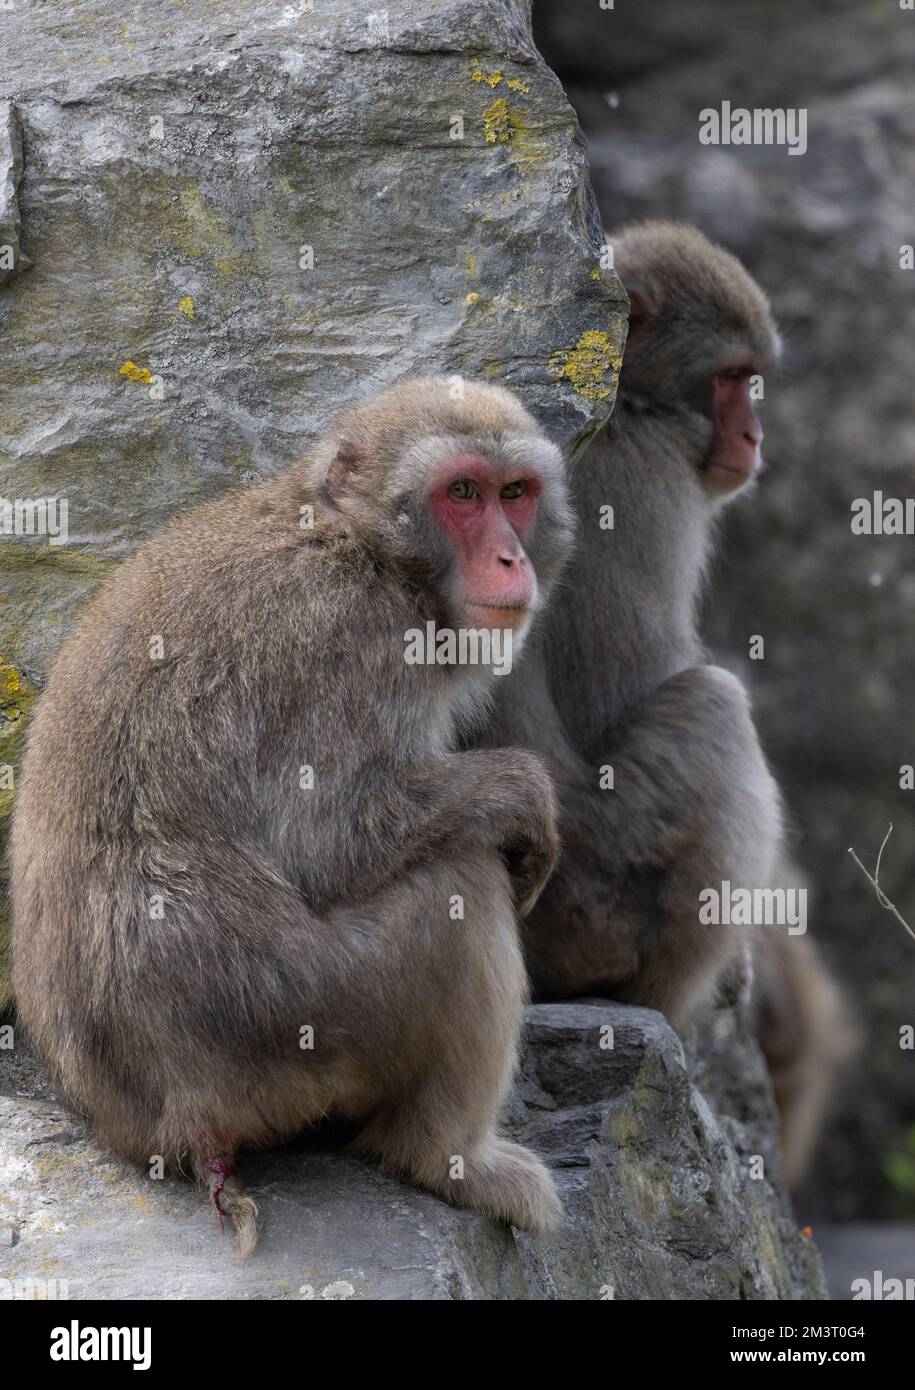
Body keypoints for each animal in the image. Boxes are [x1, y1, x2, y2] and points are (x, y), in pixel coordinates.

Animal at [10, 375, 575, 1253]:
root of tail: (177, 1128)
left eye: (514, 493)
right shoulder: (353, 642)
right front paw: (524, 796)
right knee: (457, 884)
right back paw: (445, 1157)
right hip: (297, 1022)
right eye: (461, 493)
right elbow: (326, 843)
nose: (511, 558)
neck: (357, 545)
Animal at [487, 222, 852, 1180]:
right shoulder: (649, 487)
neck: (630, 407)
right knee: (715, 704)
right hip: (604, 907)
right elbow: (642, 677)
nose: (755, 435)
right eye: (729, 377)